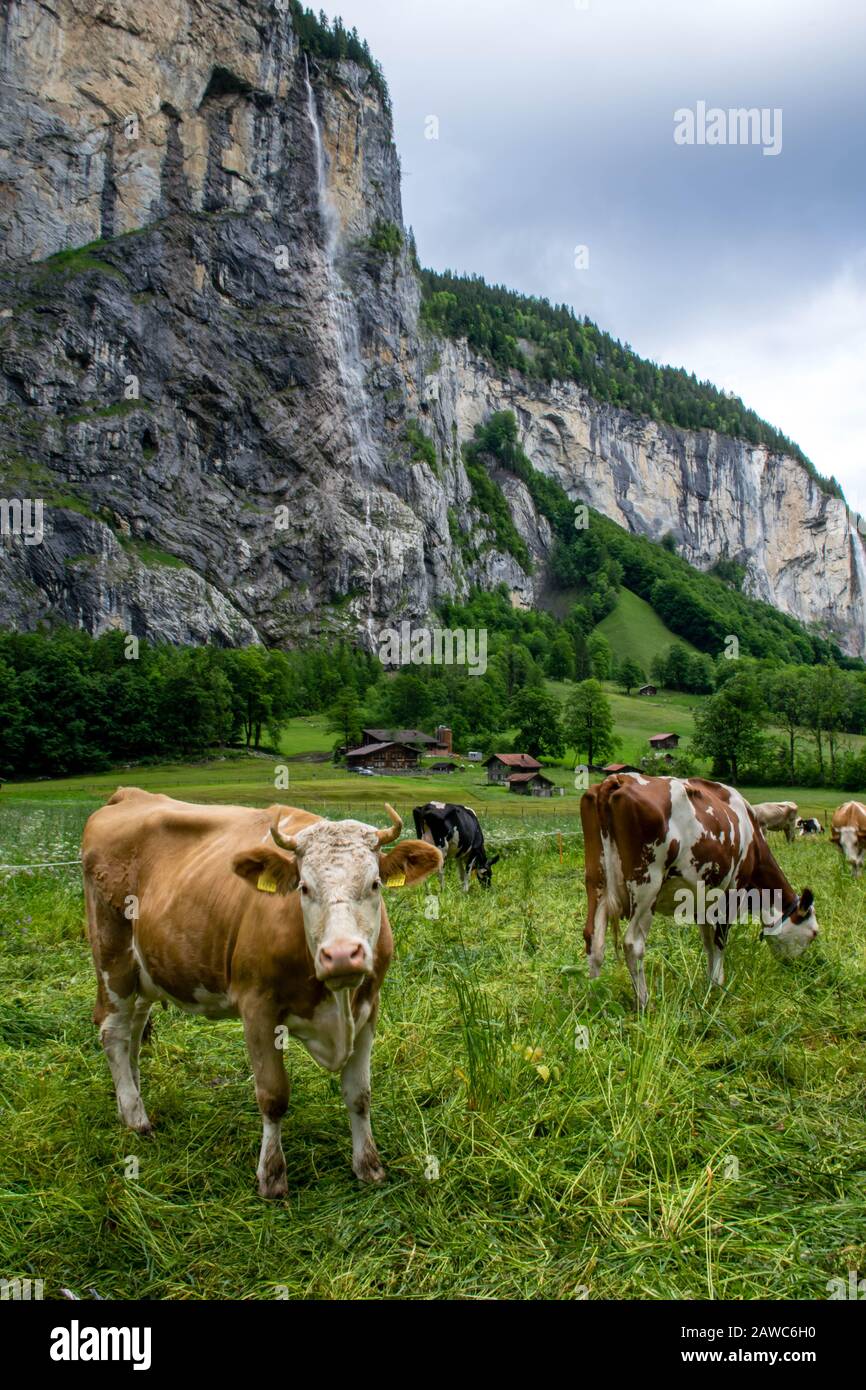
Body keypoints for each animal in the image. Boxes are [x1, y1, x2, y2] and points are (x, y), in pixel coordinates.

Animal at [82, 789, 442, 1198]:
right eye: (304, 887)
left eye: (375, 884)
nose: (341, 955)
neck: (337, 1000)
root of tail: (129, 795)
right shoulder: (257, 1007)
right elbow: (273, 1096)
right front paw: (271, 1176)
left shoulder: (368, 1008)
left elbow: (359, 1094)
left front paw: (368, 1165)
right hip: (112, 955)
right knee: (113, 1031)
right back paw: (135, 1116)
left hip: (144, 971)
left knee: (134, 1031)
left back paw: (131, 1097)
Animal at [580, 773, 819, 1010]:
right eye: (814, 934)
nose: (797, 969)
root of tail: (618, 779)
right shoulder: (734, 891)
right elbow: (720, 939)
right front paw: (718, 986)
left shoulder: (700, 901)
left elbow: (708, 941)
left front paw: (710, 980)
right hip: (647, 886)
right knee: (633, 944)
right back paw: (644, 1004)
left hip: (596, 881)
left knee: (594, 940)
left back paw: (594, 1001)